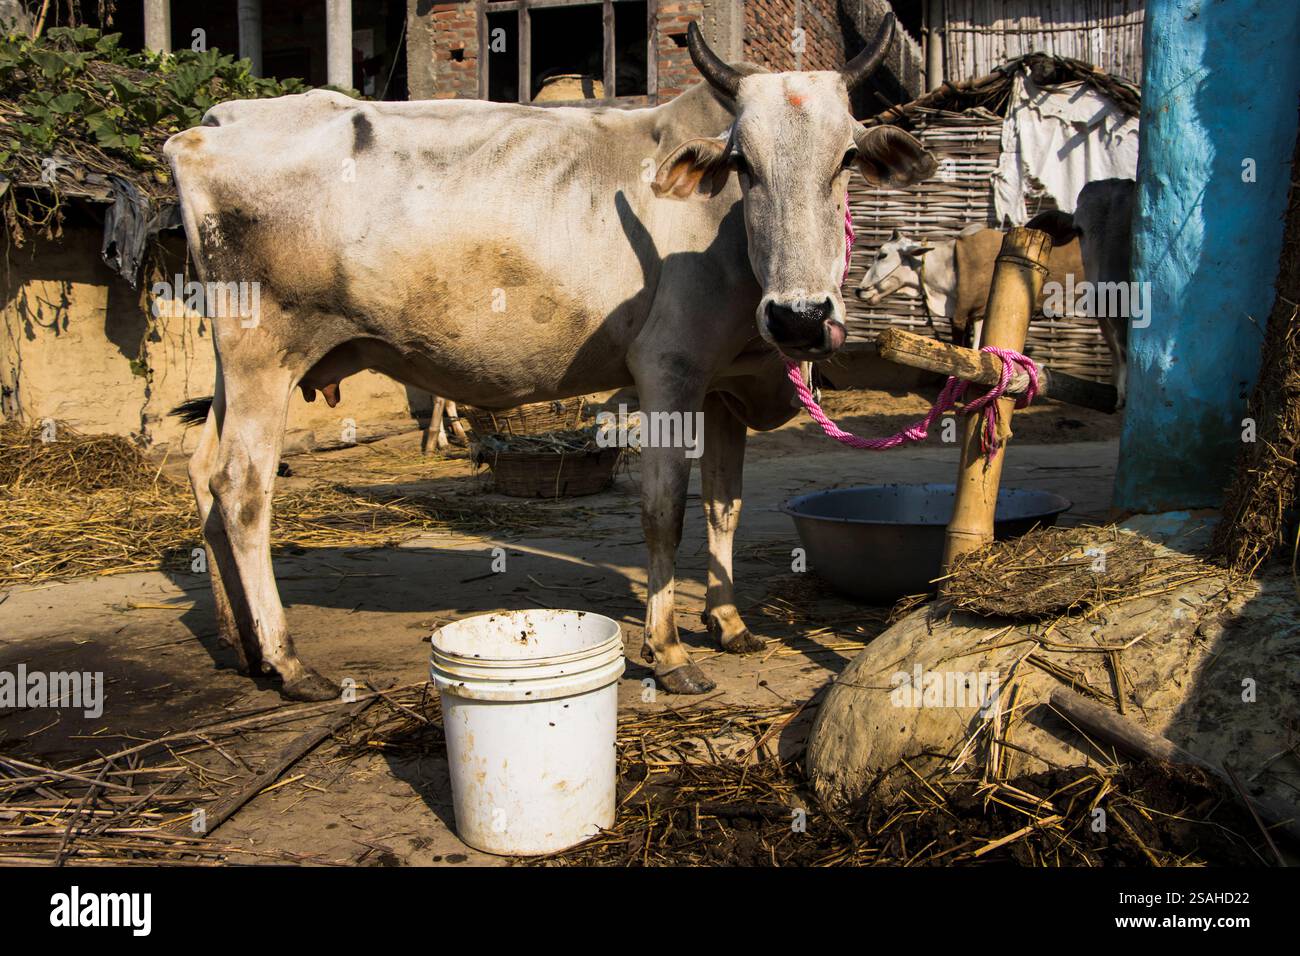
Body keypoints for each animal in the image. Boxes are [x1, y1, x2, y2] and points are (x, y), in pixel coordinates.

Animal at [164, 16, 937, 700]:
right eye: (743, 163)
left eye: (845, 159)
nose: (799, 318)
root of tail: (212, 125)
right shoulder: (669, 371)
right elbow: (666, 510)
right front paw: (670, 653)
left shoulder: (725, 384)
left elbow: (725, 506)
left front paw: (729, 622)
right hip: (266, 356)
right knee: (242, 487)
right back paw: (289, 662)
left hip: (237, 367)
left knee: (204, 473)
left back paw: (244, 647)